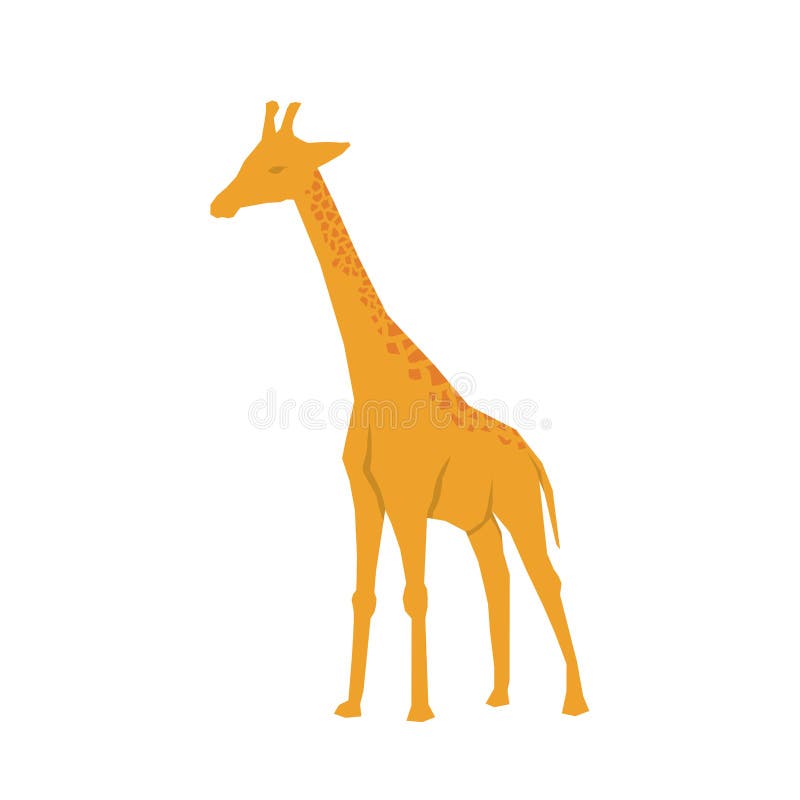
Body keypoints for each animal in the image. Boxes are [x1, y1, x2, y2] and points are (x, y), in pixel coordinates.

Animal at [211, 101, 588, 721]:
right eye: (247, 157)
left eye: (276, 166)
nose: (220, 204)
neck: (371, 381)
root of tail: (534, 459)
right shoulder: (366, 496)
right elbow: (364, 594)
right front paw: (350, 705)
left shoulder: (408, 499)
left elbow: (418, 595)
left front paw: (418, 711)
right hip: (481, 522)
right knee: (499, 580)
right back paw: (498, 696)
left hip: (519, 507)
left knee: (547, 580)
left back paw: (574, 702)